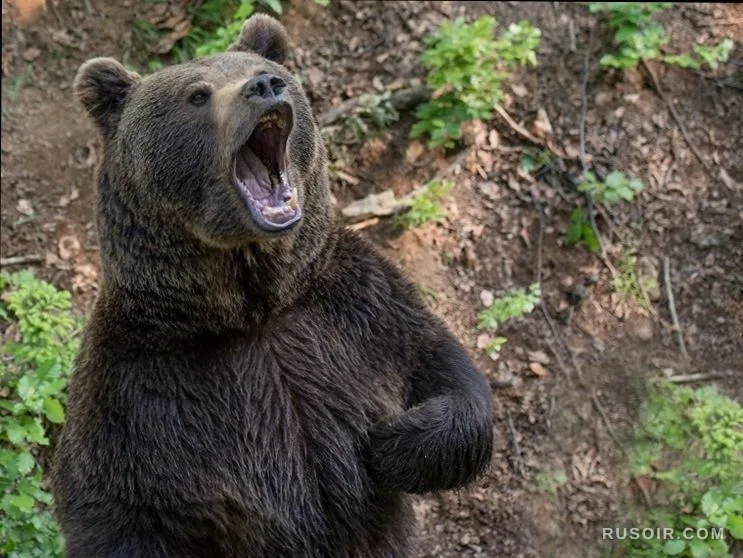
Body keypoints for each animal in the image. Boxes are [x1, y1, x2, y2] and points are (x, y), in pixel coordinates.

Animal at [51, 14, 494, 558]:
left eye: (267, 71)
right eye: (197, 94)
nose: (263, 87)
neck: (254, 309)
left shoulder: (359, 310)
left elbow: (446, 370)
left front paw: (391, 441)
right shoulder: (137, 394)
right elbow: (114, 513)